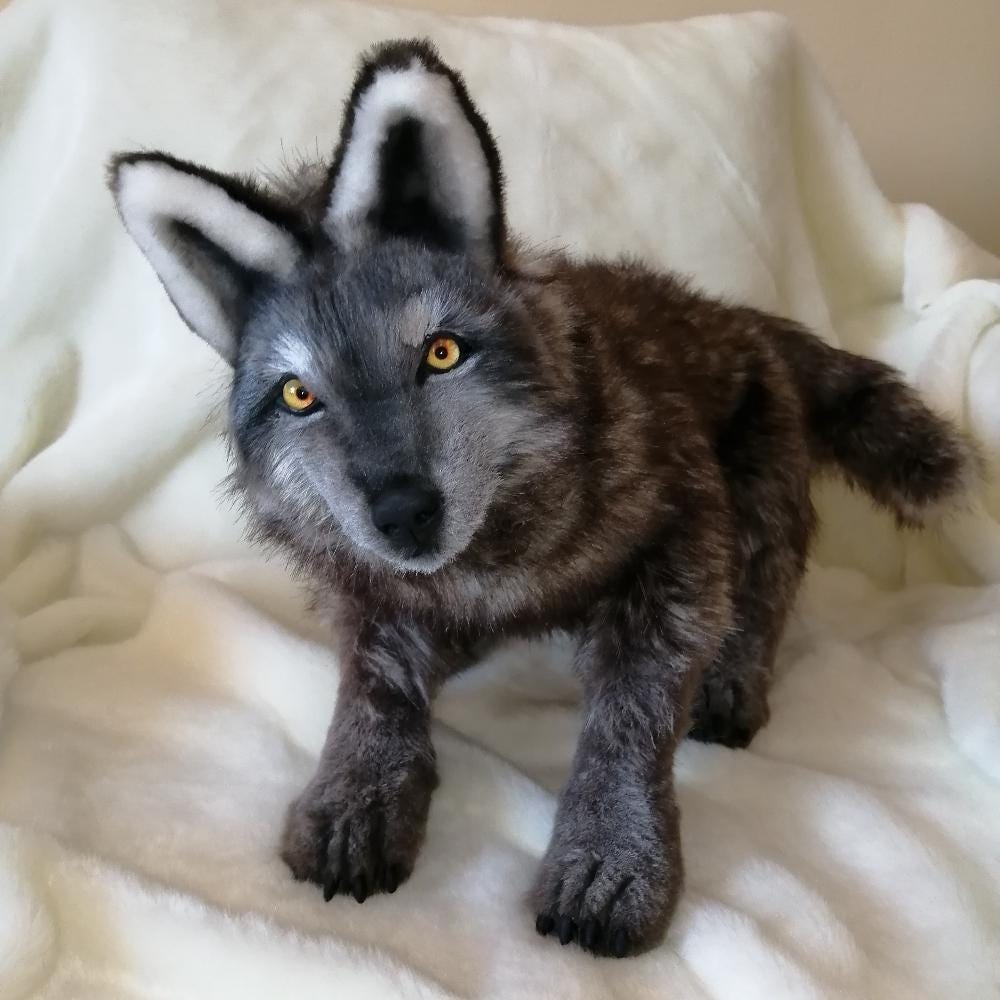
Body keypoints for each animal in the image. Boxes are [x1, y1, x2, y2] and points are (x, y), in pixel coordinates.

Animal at [107, 38, 974, 957]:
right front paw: (358, 795)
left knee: (765, 596)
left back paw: (732, 681)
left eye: (441, 353)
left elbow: (630, 719)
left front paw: (610, 858)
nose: (403, 514)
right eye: (299, 395)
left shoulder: (683, 534)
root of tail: (732, 313)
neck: (495, 561)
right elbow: (369, 690)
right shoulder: (365, 589)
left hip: (759, 492)